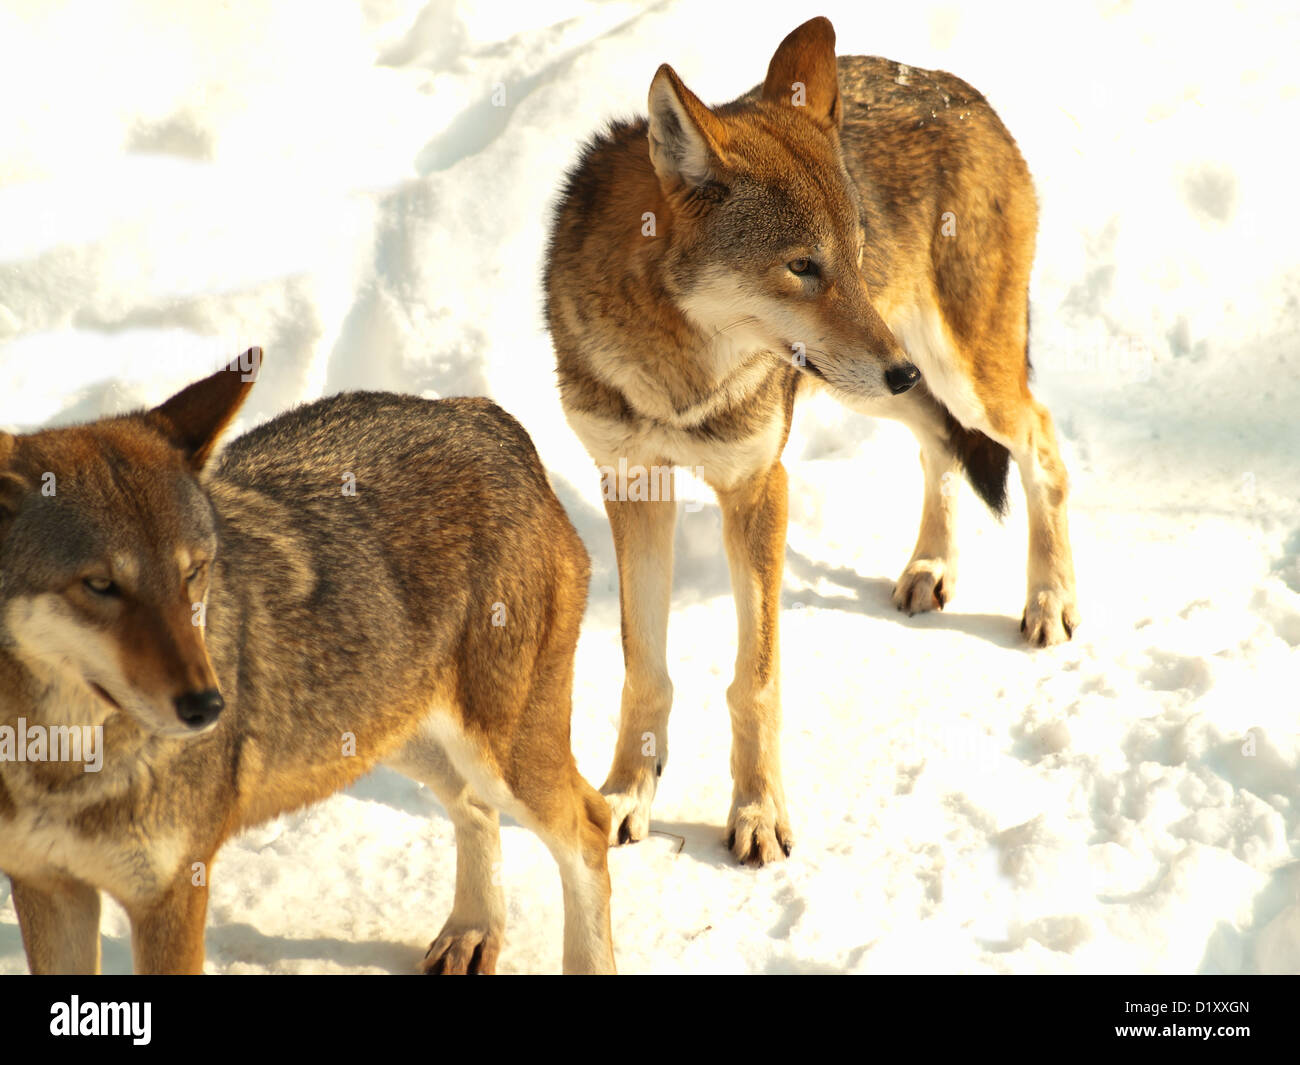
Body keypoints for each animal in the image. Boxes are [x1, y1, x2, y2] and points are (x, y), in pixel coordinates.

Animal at [0, 352, 614, 974]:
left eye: (194, 572)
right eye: (101, 585)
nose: (210, 706)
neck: (60, 765)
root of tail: (483, 415)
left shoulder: (171, 895)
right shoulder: (47, 888)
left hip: (496, 754)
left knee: (590, 824)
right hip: (383, 735)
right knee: (473, 804)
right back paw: (472, 933)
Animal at [545, 16, 1078, 864]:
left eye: (851, 257)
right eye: (802, 266)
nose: (897, 366)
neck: (679, 374)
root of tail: (957, 90)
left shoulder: (760, 486)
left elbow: (754, 679)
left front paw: (758, 814)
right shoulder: (635, 487)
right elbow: (645, 669)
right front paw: (627, 796)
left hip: (957, 375)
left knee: (1042, 441)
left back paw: (1050, 599)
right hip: (879, 388)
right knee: (939, 440)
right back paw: (931, 568)